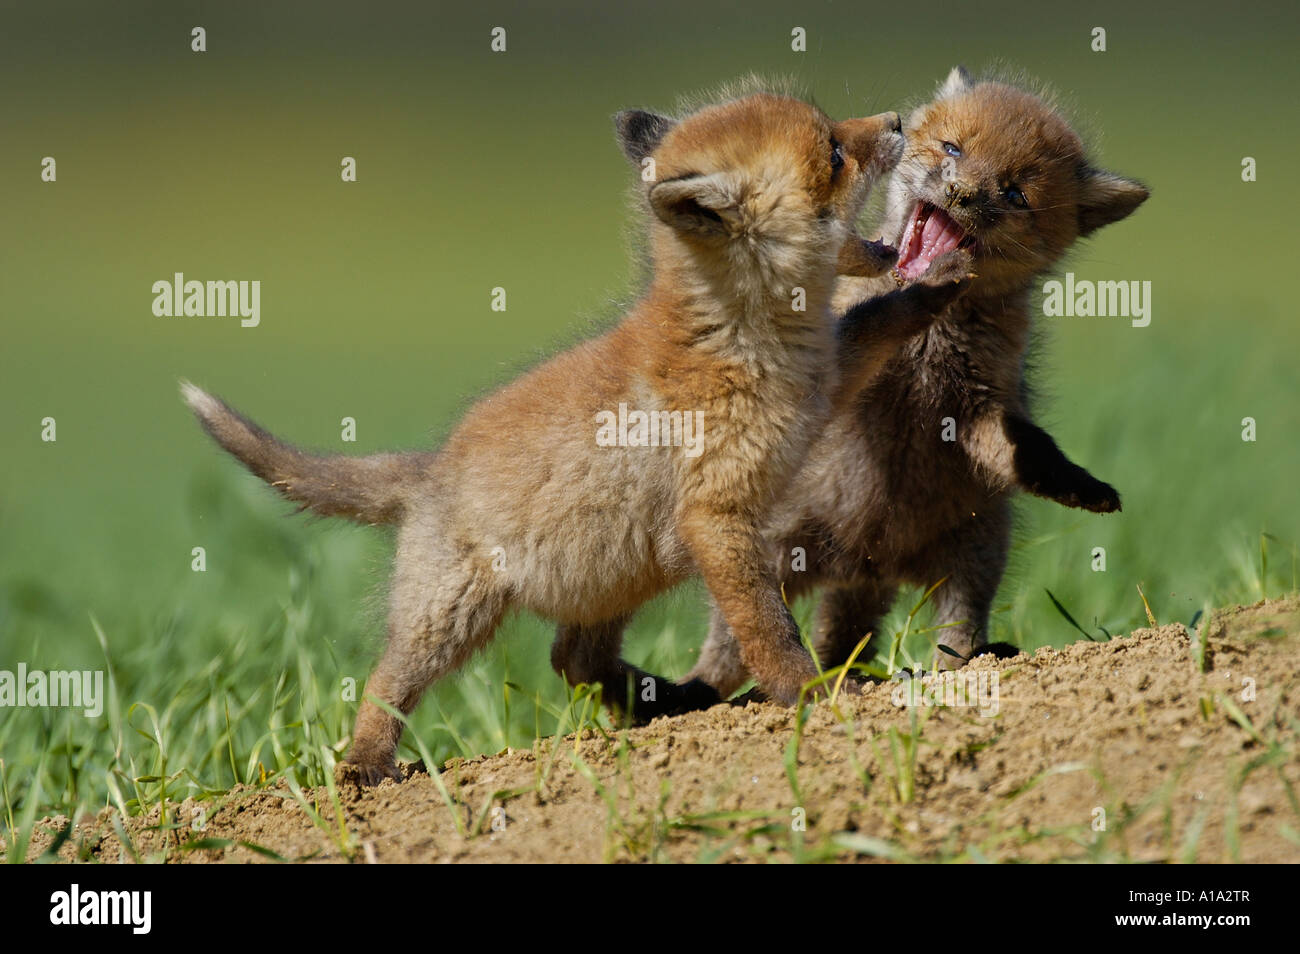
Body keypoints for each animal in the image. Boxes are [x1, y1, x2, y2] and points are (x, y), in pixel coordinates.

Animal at [182, 85, 967, 785]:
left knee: (572, 660)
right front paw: (814, 694)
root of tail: (430, 468)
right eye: (833, 151)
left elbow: (879, 318)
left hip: (616, 571)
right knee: (389, 680)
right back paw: (365, 767)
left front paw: (942, 280)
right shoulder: (717, 518)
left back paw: (664, 705)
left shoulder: (830, 383)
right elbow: (770, 628)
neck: (746, 340)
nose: (899, 119)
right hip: (452, 614)